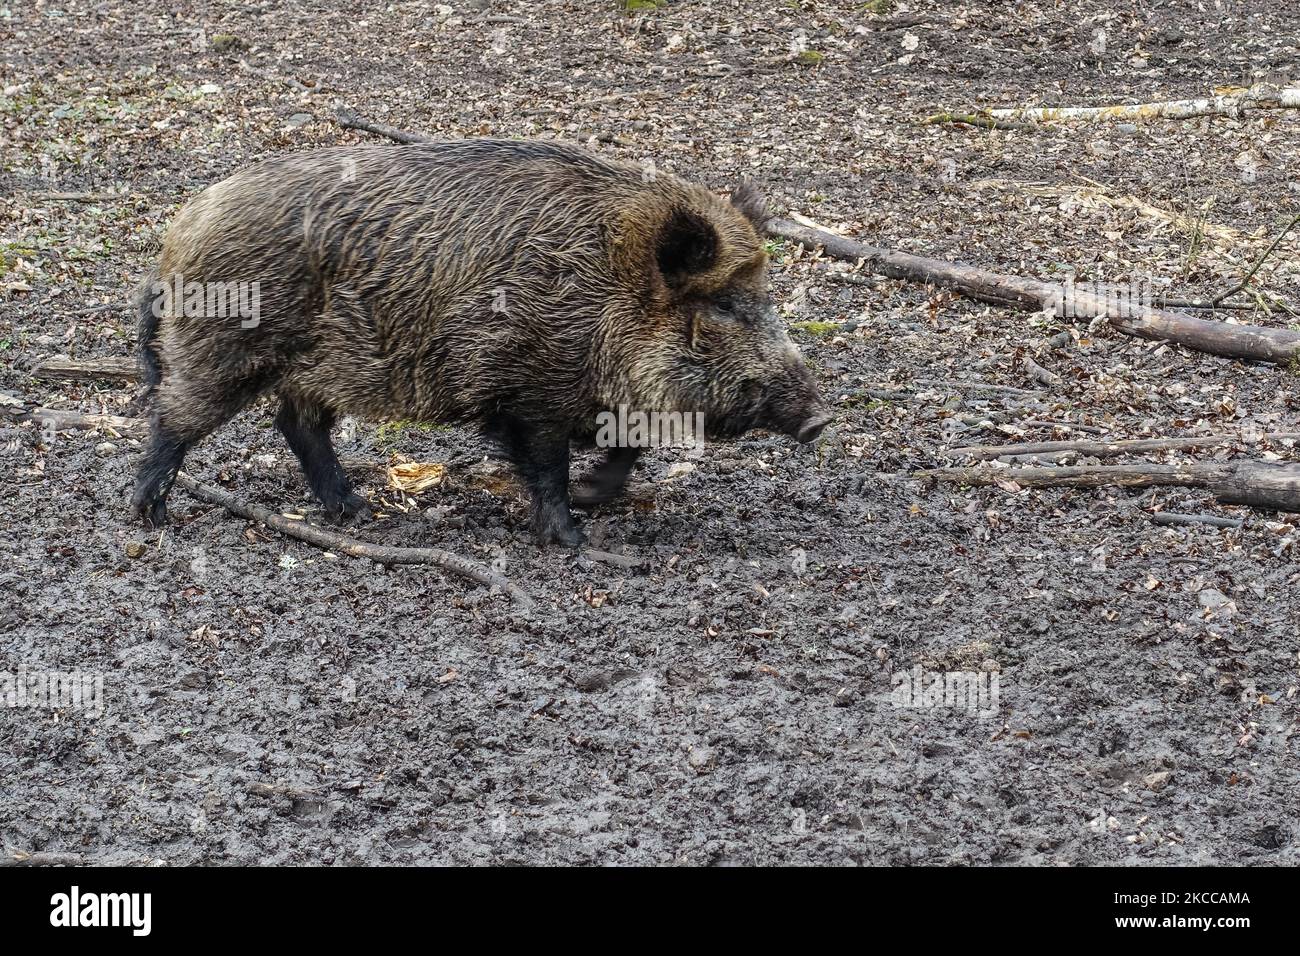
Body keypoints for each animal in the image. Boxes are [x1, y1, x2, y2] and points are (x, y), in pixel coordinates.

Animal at [132, 140, 831, 546]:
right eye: (722, 305)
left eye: (765, 295)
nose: (820, 419)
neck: (608, 287)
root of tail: (179, 232)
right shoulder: (530, 390)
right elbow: (546, 467)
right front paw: (574, 540)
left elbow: (626, 449)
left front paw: (593, 500)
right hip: (224, 349)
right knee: (175, 414)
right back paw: (149, 515)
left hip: (320, 368)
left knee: (298, 425)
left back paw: (356, 510)